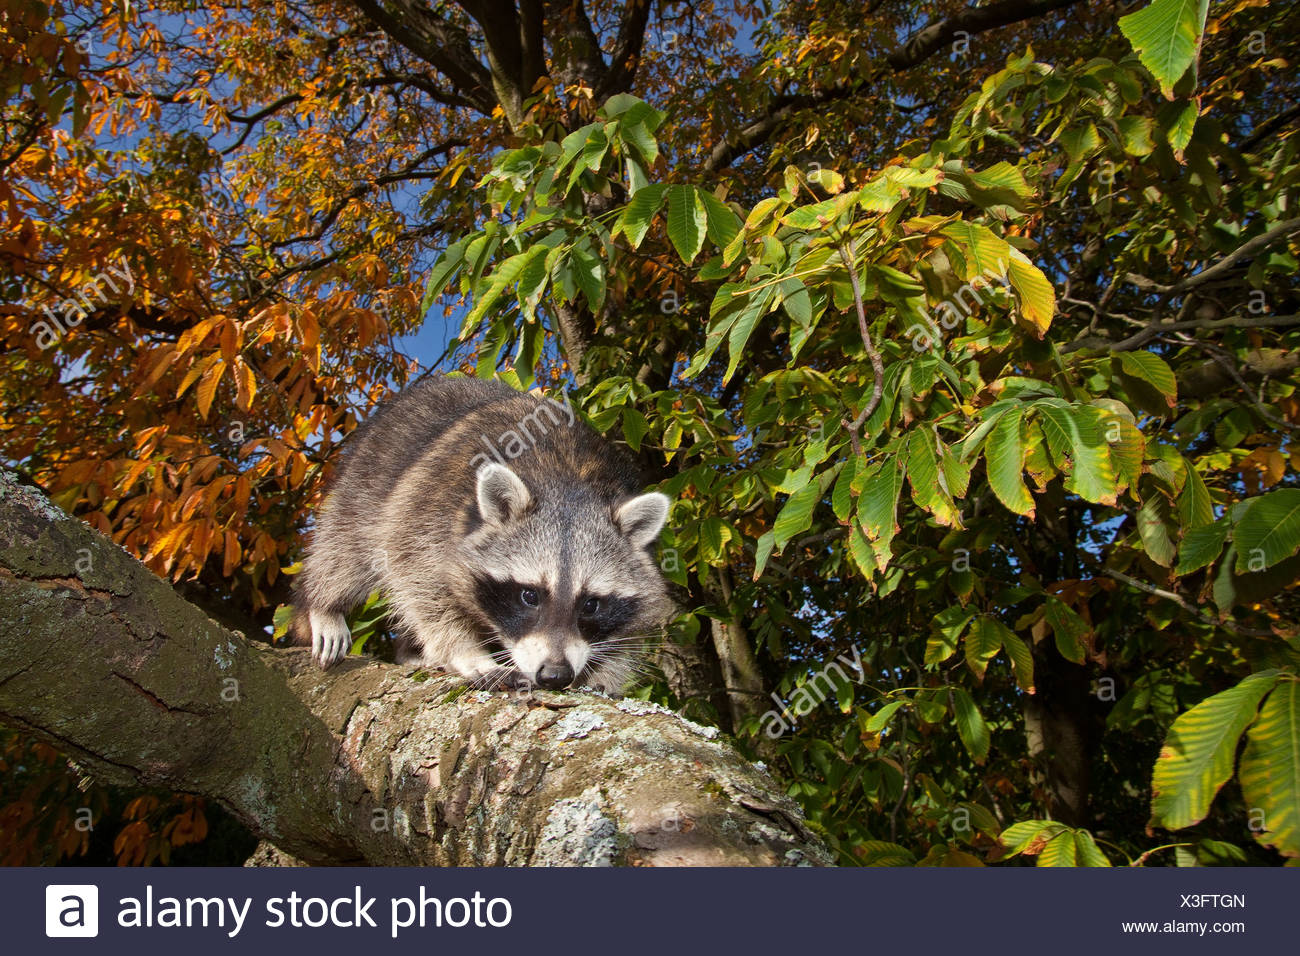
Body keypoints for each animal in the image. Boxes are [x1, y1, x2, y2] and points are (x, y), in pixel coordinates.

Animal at [291, 376, 672, 693]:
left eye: (591, 604)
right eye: (529, 596)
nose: (555, 674)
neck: (569, 481)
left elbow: (633, 628)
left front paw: (605, 674)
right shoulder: (427, 511)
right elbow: (419, 583)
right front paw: (467, 652)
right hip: (370, 476)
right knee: (345, 546)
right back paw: (324, 605)